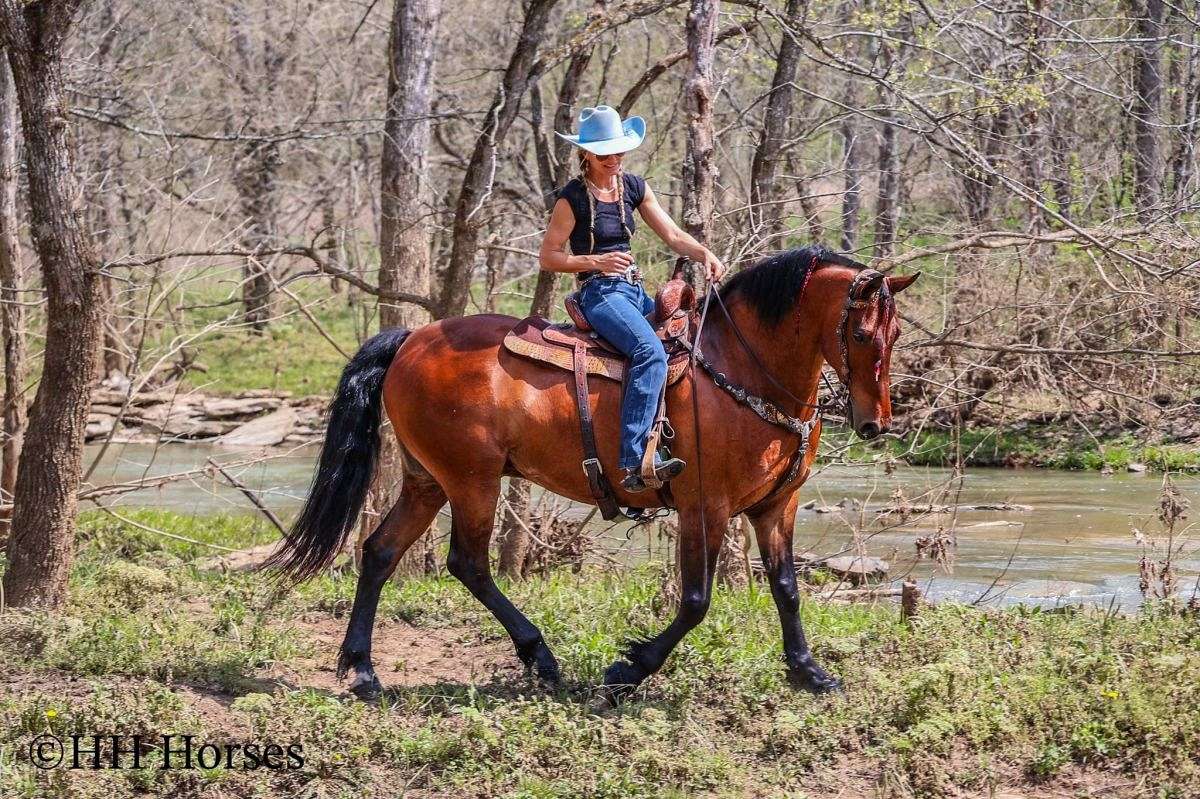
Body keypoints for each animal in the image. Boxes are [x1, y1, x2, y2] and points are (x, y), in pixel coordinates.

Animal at [265, 245, 918, 701]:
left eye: (896, 333)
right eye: (863, 333)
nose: (875, 423)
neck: (742, 371)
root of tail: (409, 341)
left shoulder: (774, 508)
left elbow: (786, 587)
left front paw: (809, 671)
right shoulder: (703, 507)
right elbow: (696, 601)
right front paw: (629, 669)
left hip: (427, 482)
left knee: (379, 552)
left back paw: (363, 670)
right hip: (472, 481)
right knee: (467, 564)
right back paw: (539, 656)